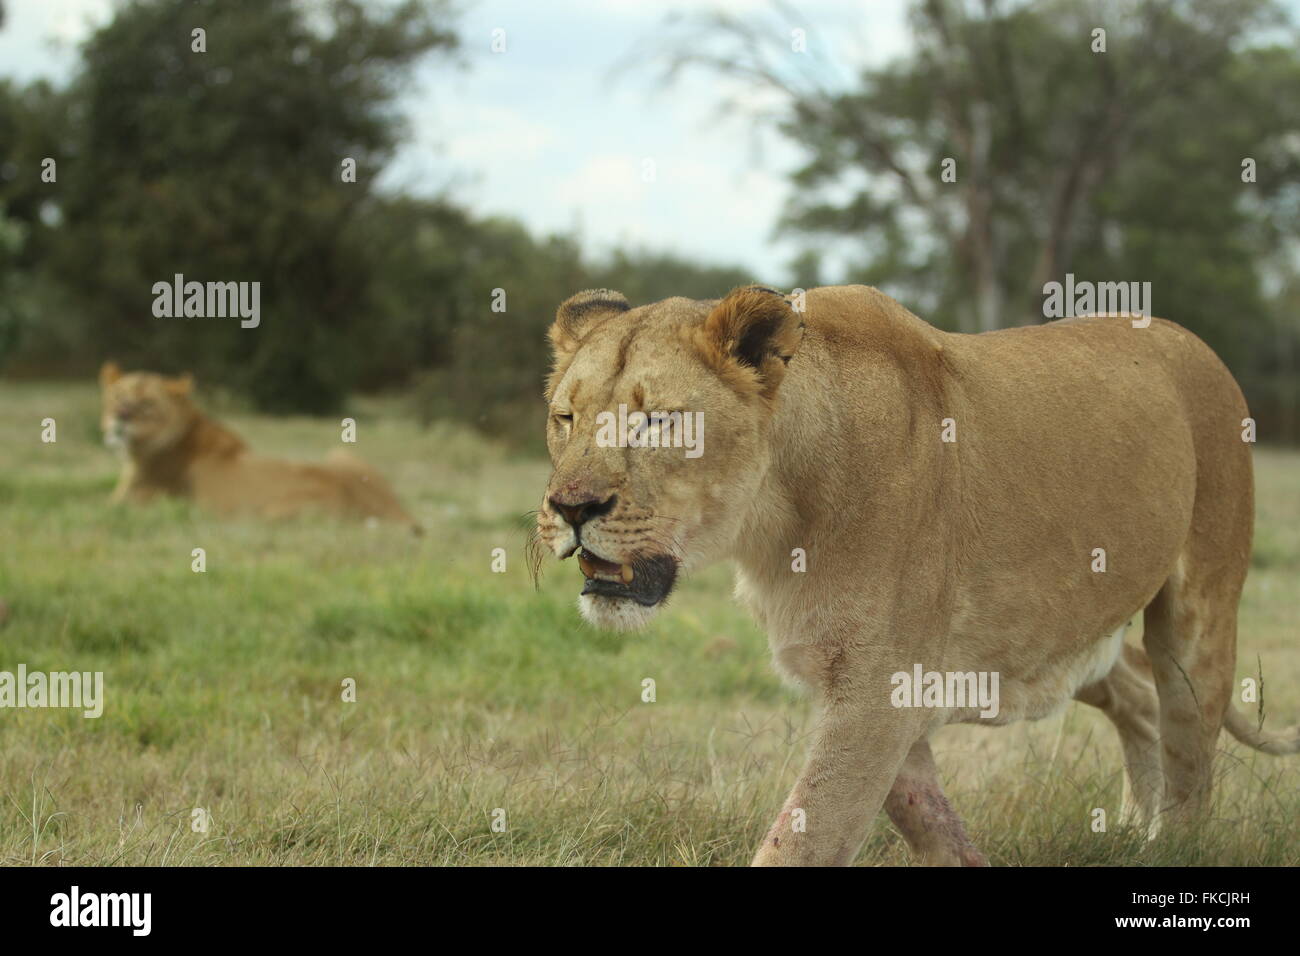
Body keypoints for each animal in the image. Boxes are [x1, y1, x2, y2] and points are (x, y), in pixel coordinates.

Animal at [99, 361, 417, 529]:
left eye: (147, 404)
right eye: (117, 396)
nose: (120, 416)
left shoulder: (134, 503)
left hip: (270, 513)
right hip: (340, 452)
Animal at [536, 284, 1299, 866]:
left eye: (660, 423)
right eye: (564, 418)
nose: (570, 508)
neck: (776, 517)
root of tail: (1187, 337)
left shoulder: (877, 691)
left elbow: (802, 839)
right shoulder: (863, 687)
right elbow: (928, 821)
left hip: (1199, 615)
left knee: (1190, 753)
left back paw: (1171, 846)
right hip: (1062, 629)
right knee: (1134, 691)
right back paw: (1135, 833)